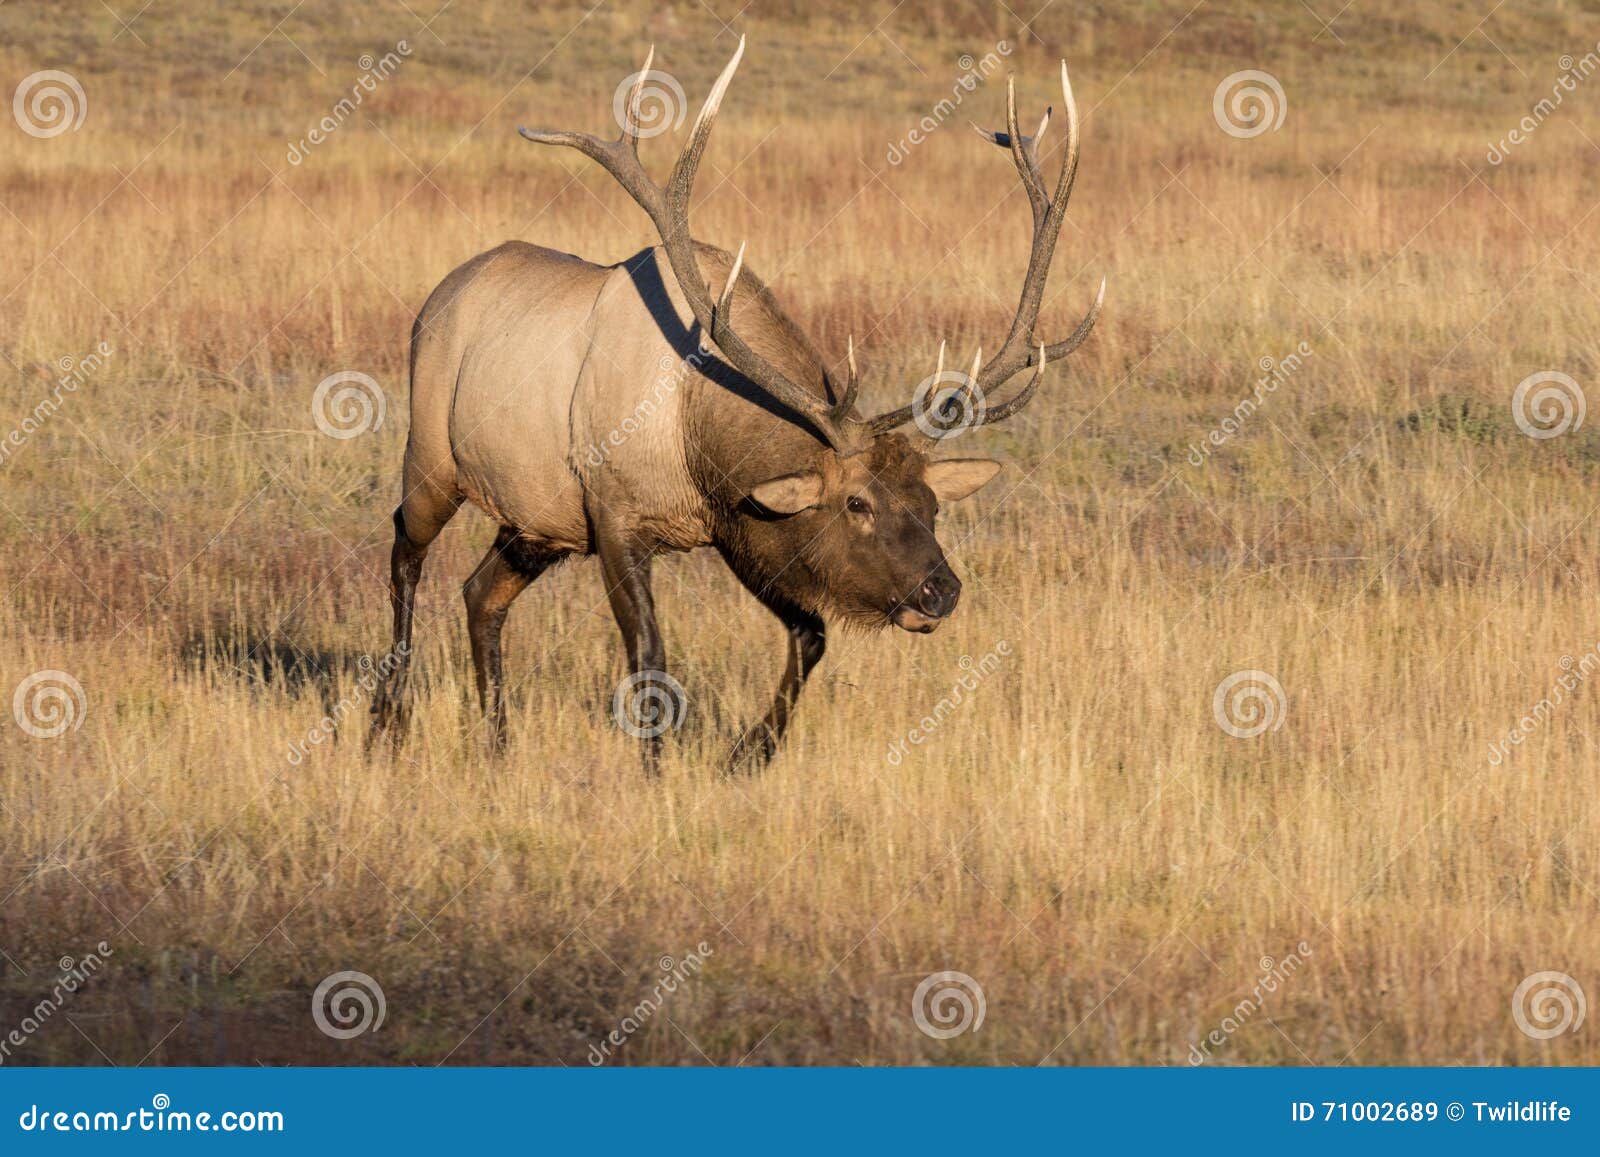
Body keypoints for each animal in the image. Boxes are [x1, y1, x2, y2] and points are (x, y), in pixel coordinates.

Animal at [368, 38, 1102, 773]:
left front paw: (748, 754)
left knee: (479, 593)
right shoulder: (614, 513)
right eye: (856, 503)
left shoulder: (734, 523)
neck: (695, 431)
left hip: (537, 520)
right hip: (433, 456)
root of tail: (438, 296)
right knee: (405, 548)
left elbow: (810, 634)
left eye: (932, 503)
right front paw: (655, 772)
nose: (940, 589)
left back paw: (495, 742)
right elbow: (650, 655)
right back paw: (387, 722)